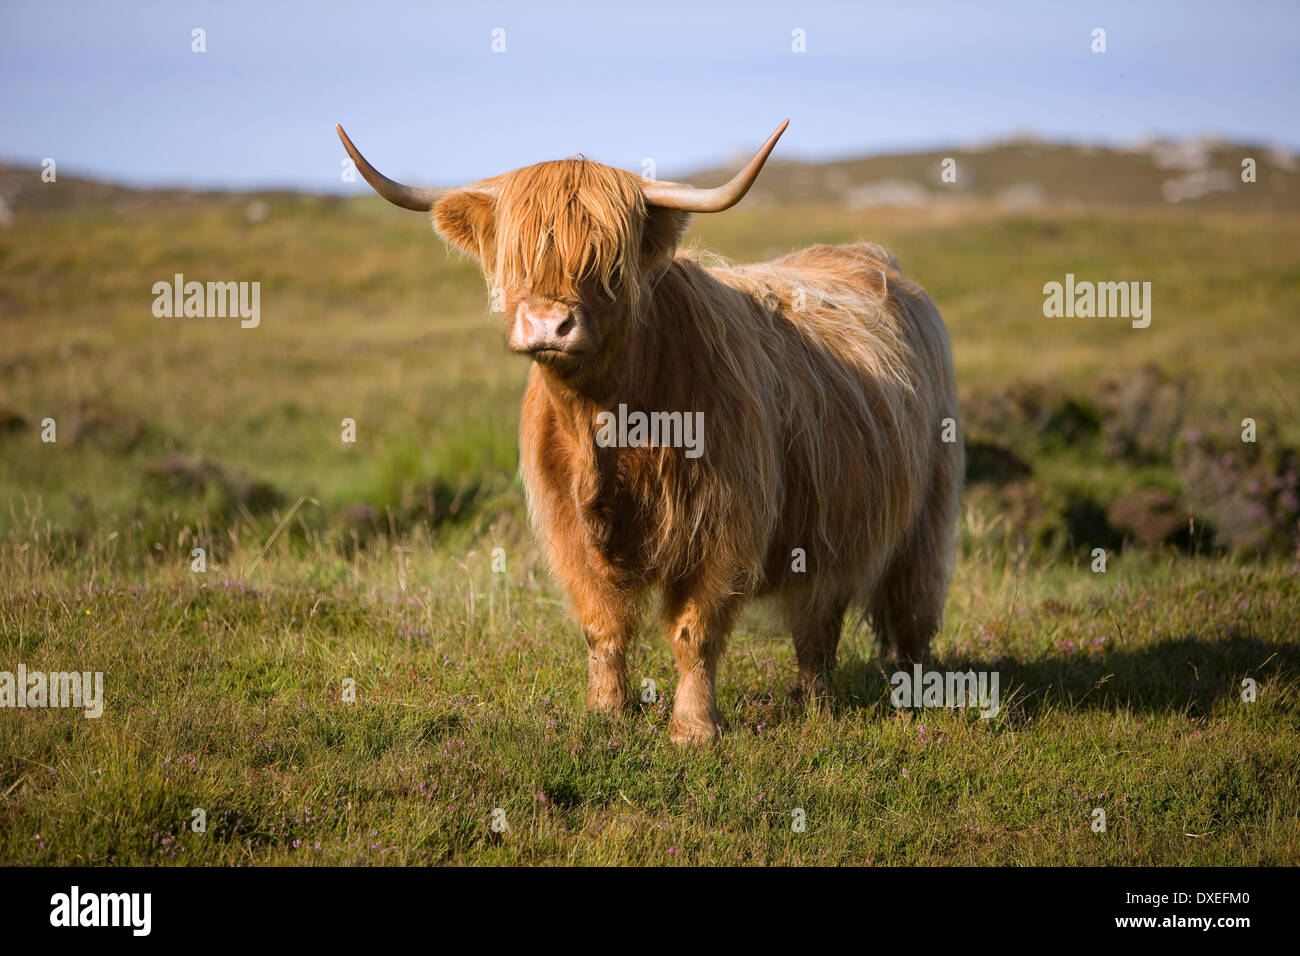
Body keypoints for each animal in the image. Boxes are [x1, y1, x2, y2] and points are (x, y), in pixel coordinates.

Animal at [337, 121, 963, 743]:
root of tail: (869, 257)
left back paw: (914, 698)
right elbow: (602, 624)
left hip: (927, 516)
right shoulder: (567, 527)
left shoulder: (724, 527)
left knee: (911, 610)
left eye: (607, 261)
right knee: (818, 617)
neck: (607, 425)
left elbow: (695, 631)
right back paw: (815, 702)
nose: (547, 324)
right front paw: (607, 711)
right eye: (517, 256)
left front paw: (694, 729)